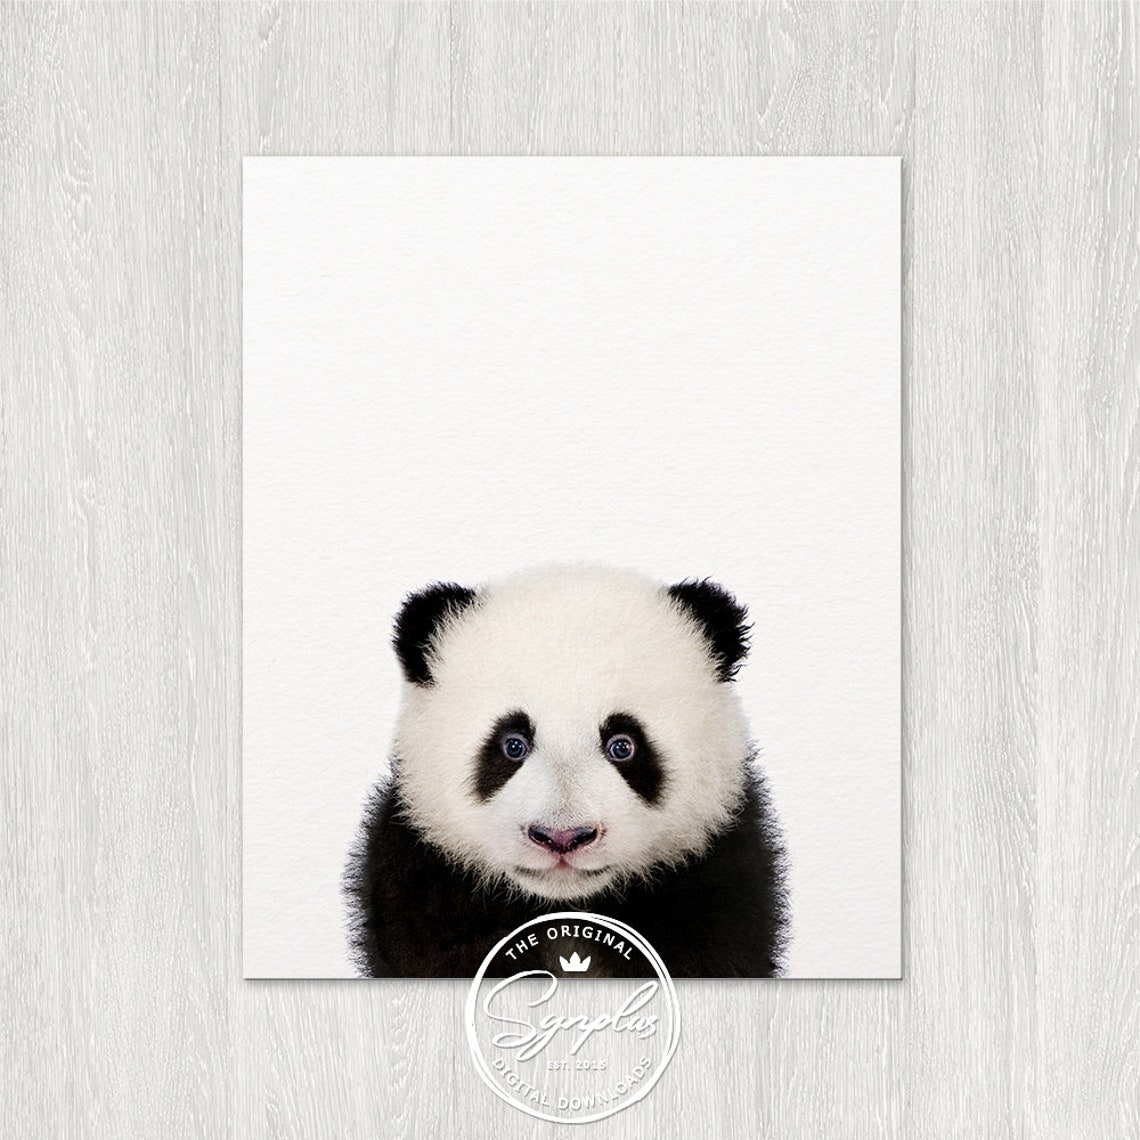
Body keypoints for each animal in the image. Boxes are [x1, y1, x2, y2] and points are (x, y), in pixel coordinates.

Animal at [344, 564, 789, 978]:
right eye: (513, 745)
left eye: (622, 746)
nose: (562, 837)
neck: (565, 904)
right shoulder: (426, 881)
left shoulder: (715, 880)